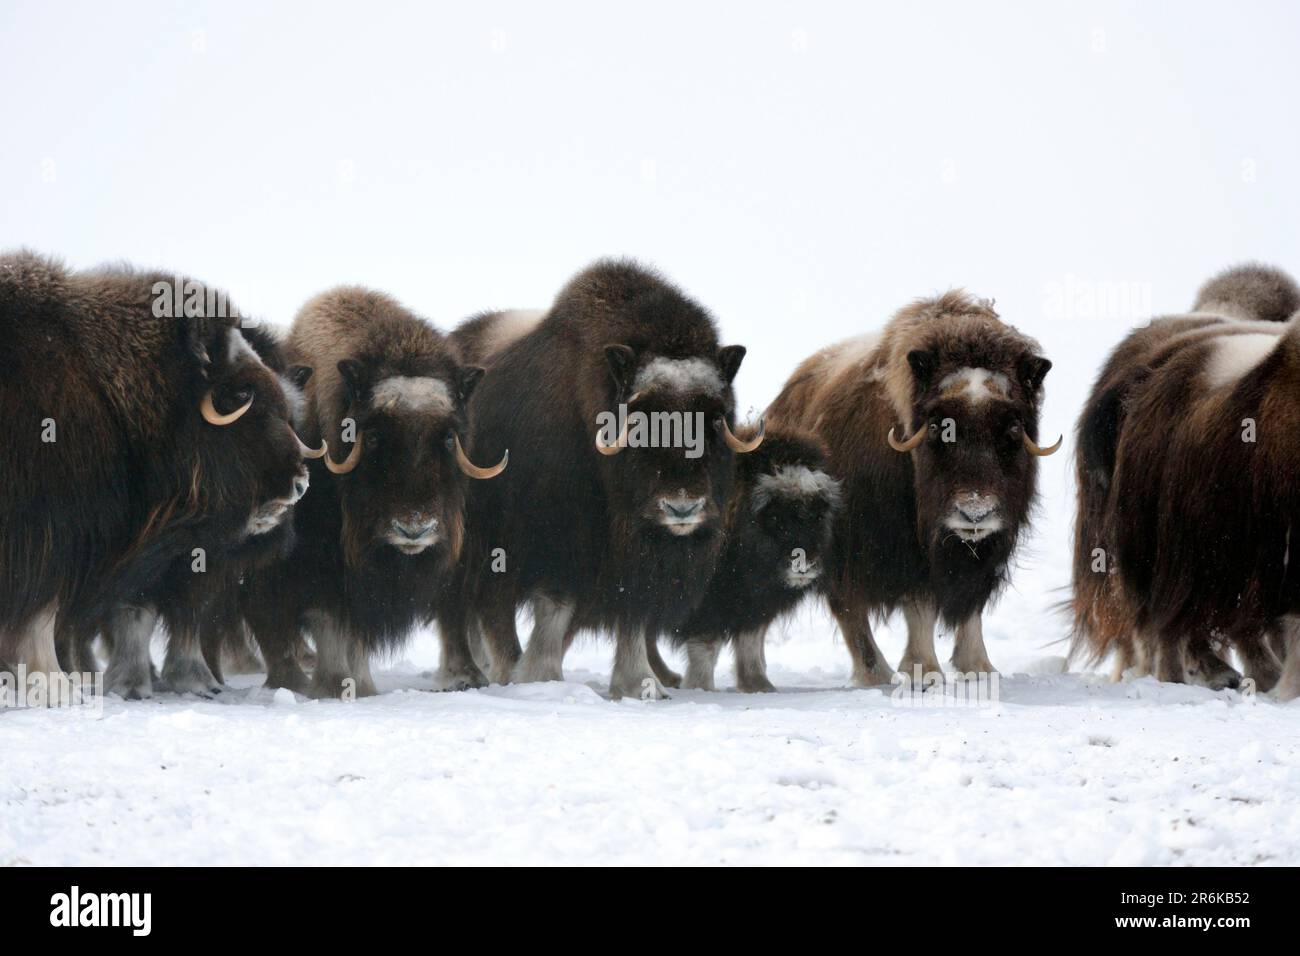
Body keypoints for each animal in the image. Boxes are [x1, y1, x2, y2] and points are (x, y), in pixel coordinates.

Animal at [0, 251, 314, 698]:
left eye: (290, 413)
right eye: (241, 395)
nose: (299, 484)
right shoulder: (51, 533)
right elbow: (44, 616)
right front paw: (61, 689)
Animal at [239, 286, 505, 699]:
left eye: (447, 438)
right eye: (377, 437)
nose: (415, 529)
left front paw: (358, 687)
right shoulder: (315, 568)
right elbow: (329, 621)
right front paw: (339, 687)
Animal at [440, 259, 762, 700]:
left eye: (713, 420)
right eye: (641, 422)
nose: (682, 508)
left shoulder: (638, 556)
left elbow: (634, 615)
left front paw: (641, 685)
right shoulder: (558, 540)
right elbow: (554, 607)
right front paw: (542, 678)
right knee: (472, 610)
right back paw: (472, 673)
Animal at [667, 423, 842, 692]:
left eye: (819, 515)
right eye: (775, 516)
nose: (804, 565)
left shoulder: (754, 603)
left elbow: (750, 638)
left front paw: (758, 685)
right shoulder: (707, 604)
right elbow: (706, 644)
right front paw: (700, 687)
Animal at [766, 291, 1058, 686]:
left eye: (1012, 427)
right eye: (938, 426)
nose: (975, 512)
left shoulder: (985, 549)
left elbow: (971, 606)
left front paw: (979, 669)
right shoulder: (905, 545)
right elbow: (919, 603)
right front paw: (925, 674)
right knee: (849, 608)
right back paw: (877, 674)